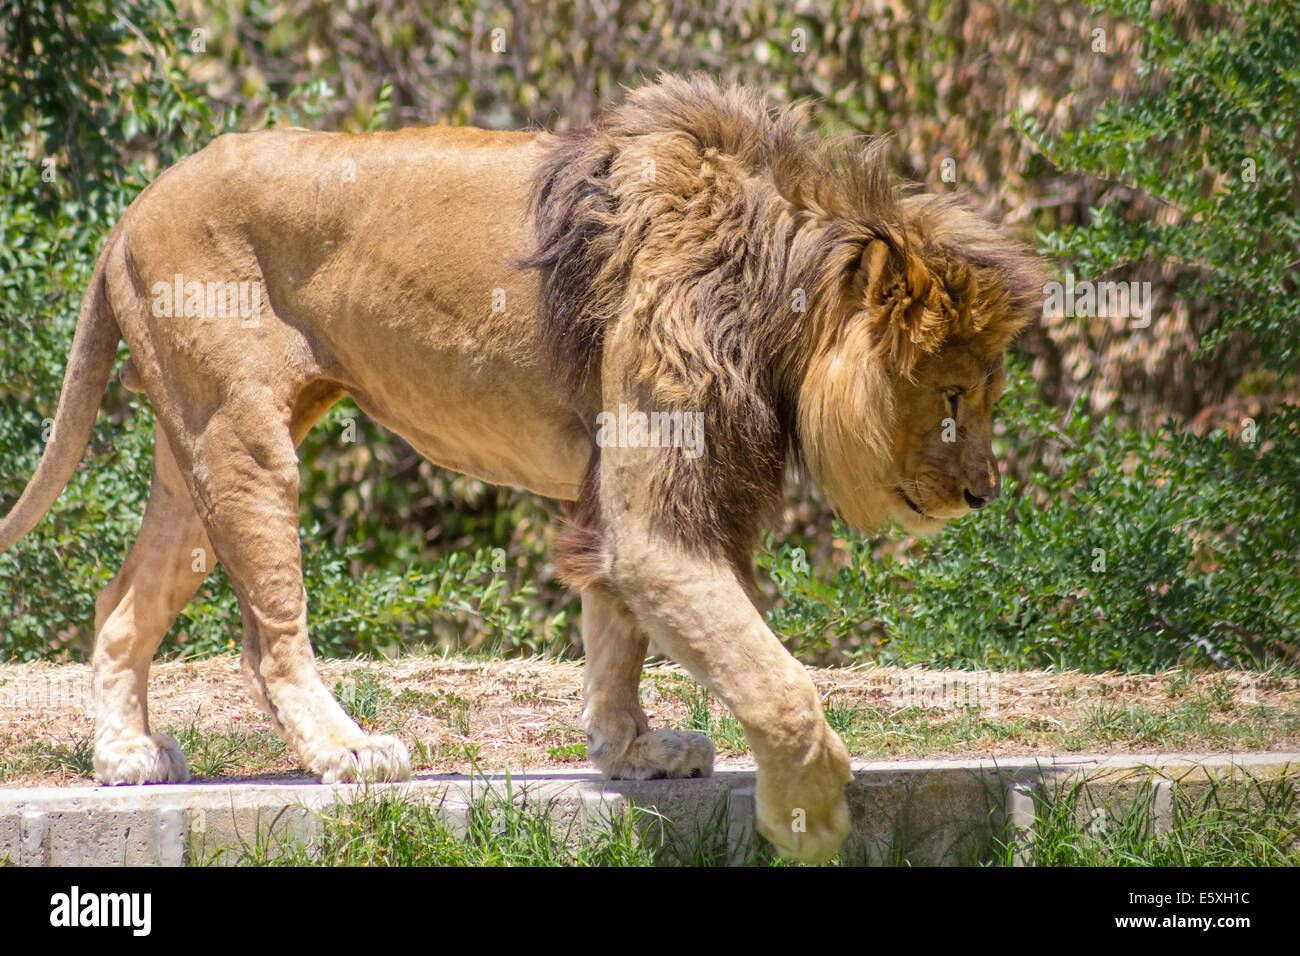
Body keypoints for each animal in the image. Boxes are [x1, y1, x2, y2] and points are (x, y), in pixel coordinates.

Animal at [0, 74, 1043, 863]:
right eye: (955, 395)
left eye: (986, 394)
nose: (983, 493)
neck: (769, 281)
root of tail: (134, 207)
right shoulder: (657, 503)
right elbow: (775, 677)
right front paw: (810, 815)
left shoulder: (622, 484)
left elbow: (618, 633)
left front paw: (630, 751)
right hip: (242, 436)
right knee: (267, 638)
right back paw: (349, 753)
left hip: (191, 457)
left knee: (122, 603)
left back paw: (127, 758)